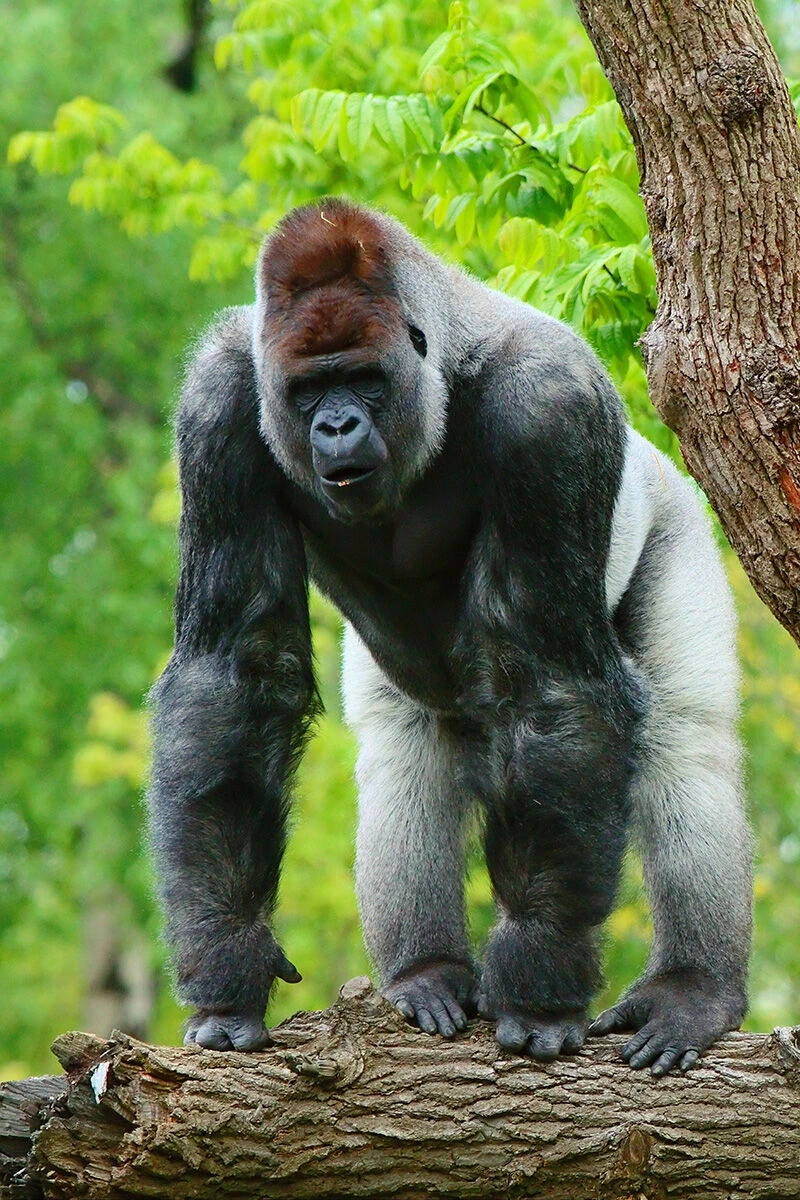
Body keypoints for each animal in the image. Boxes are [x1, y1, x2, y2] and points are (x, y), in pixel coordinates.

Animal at [148, 197, 752, 1075]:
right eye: (308, 389)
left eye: (364, 378)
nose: (336, 425)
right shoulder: (219, 402)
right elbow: (232, 677)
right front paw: (228, 963)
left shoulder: (551, 408)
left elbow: (551, 686)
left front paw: (538, 984)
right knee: (404, 750)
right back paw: (424, 973)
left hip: (672, 510)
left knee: (686, 739)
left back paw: (693, 989)